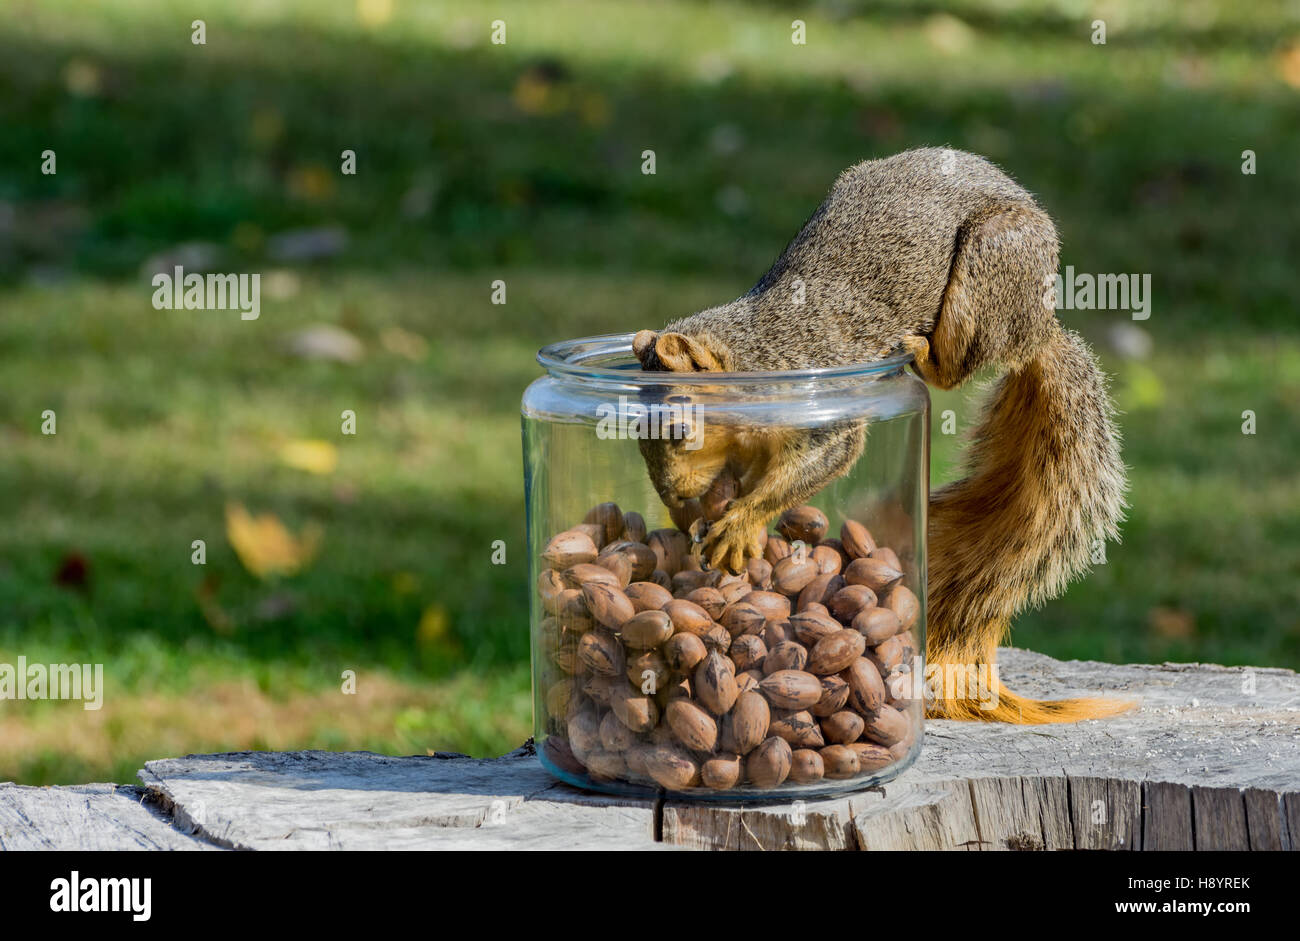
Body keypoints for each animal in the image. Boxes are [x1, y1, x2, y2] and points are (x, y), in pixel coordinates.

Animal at [632, 147, 1133, 724]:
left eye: (678, 428)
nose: (673, 498)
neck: (756, 363)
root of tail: (1038, 325)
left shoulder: (821, 404)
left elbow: (825, 457)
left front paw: (740, 525)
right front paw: (742, 532)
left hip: (996, 260)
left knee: (958, 364)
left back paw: (924, 354)